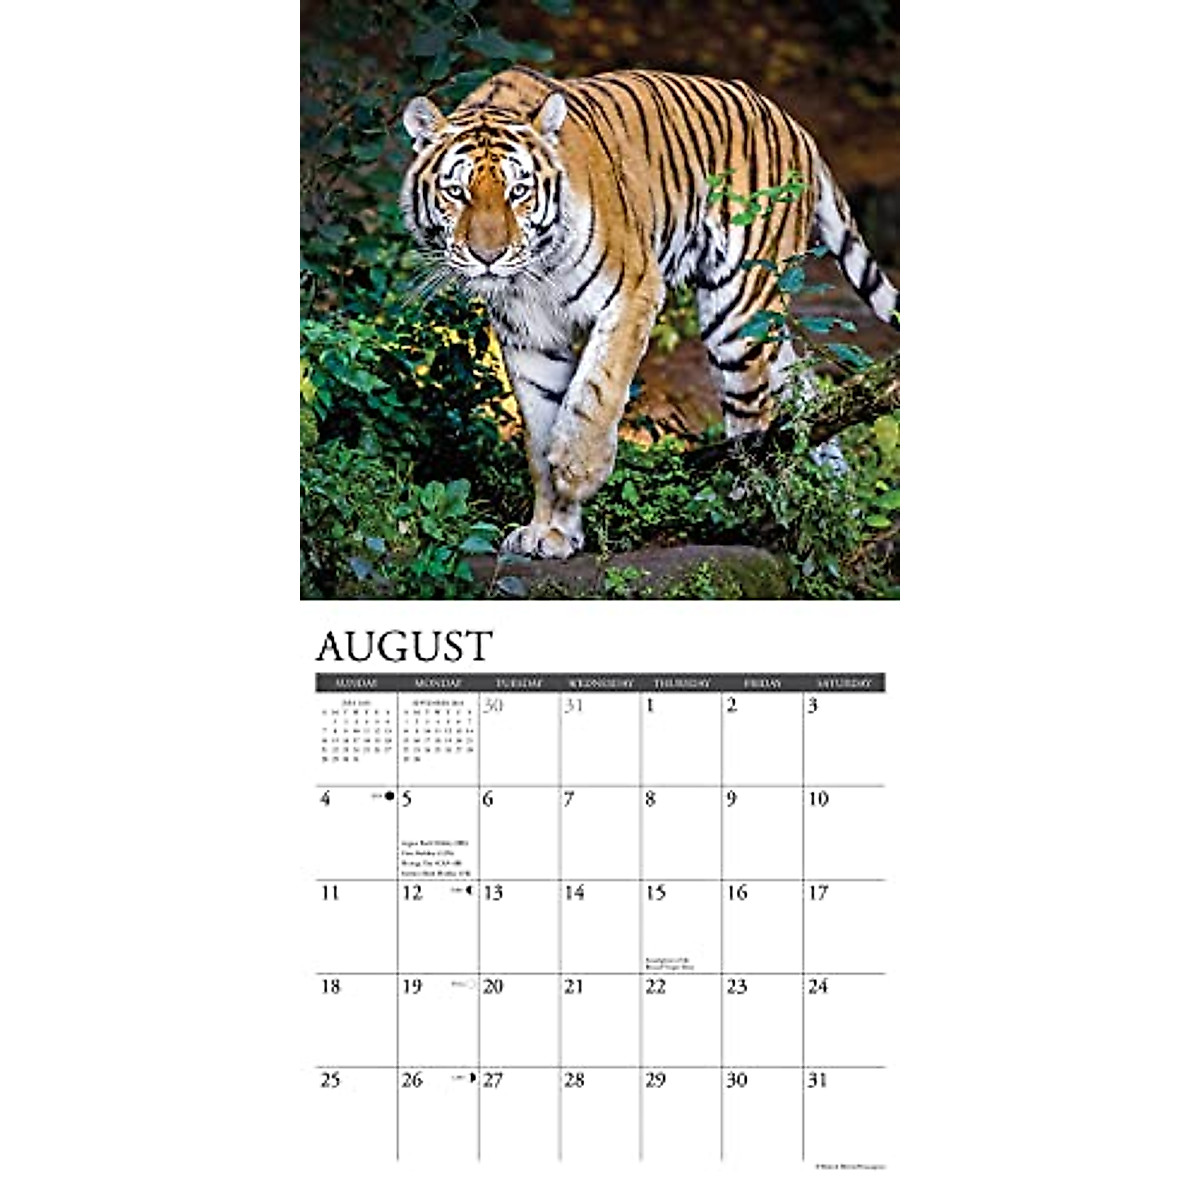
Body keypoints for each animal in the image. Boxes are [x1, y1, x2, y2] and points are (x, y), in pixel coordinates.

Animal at [401, 66, 898, 559]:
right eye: (456, 192)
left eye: (518, 191)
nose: (488, 256)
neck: (534, 274)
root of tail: (793, 123)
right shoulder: (529, 335)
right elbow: (540, 433)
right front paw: (551, 530)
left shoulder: (633, 290)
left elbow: (595, 390)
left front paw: (580, 470)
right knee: (804, 394)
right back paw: (841, 505)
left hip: (739, 309)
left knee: (754, 416)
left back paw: (744, 514)